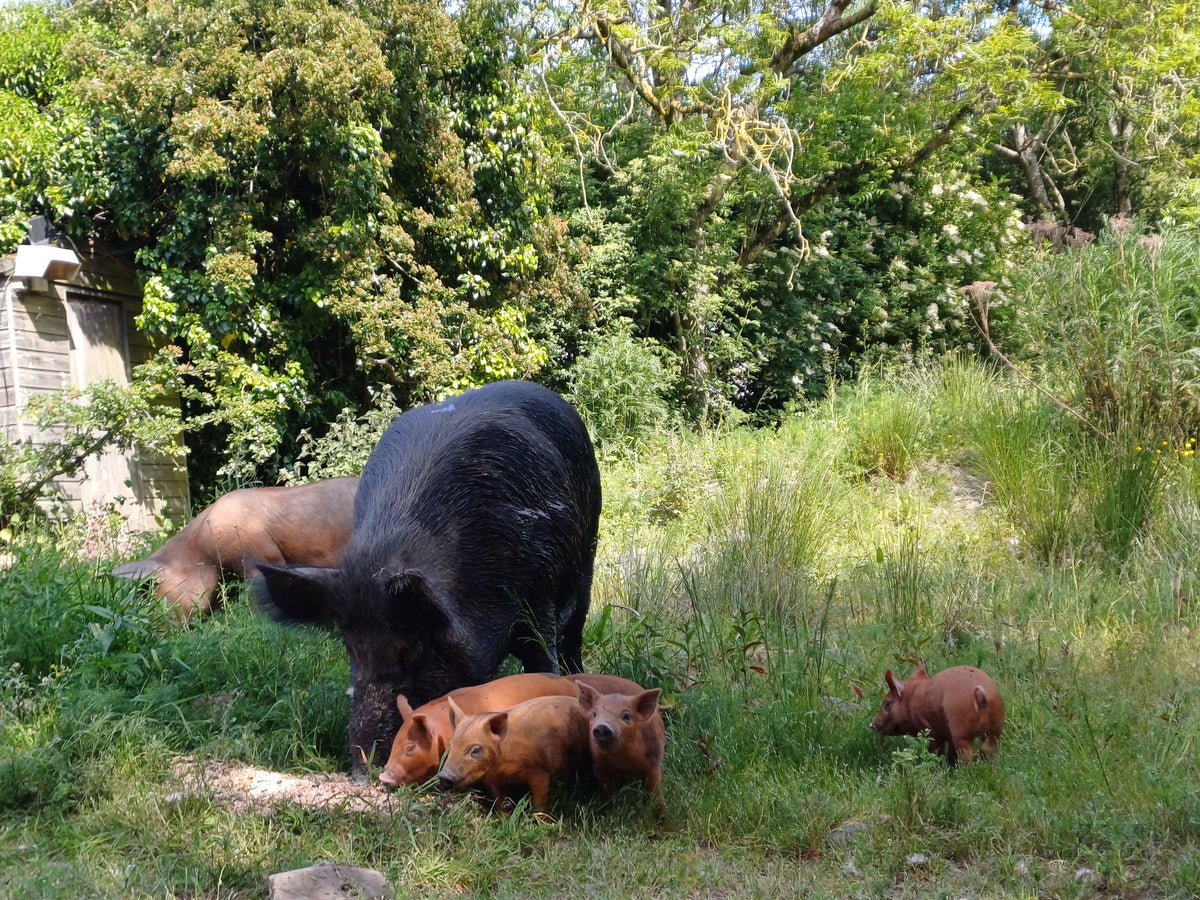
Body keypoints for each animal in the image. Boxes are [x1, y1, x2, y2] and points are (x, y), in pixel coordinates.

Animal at [253, 380, 602, 774]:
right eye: (350, 647)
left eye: (413, 646)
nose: (364, 769)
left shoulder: (537, 587)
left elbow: (541, 658)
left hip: (587, 553)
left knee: (574, 630)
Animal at [437, 694, 591, 811]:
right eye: (452, 745)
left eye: (475, 749)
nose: (444, 776)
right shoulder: (492, 781)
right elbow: (501, 802)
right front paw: (504, 819)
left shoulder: (540, 771)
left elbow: (539, 801)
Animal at [576, 682, 666, 816]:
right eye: (595, 714)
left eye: (626, 716)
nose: (602, 726)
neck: (622, 760)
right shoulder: (599, 767)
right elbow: (606, 791)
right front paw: (604, 813)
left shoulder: (654, 762)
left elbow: (655, 789)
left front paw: (662, 816)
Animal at [870, 664, 1005, 764]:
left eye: (887, 704)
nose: (872, 724)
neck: (911, 700)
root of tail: (982, 698)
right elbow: (951, 752)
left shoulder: (929, 730)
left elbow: (936, 751)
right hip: (996, 727)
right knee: (988, 748)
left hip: (960, 730)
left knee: (967, 753)